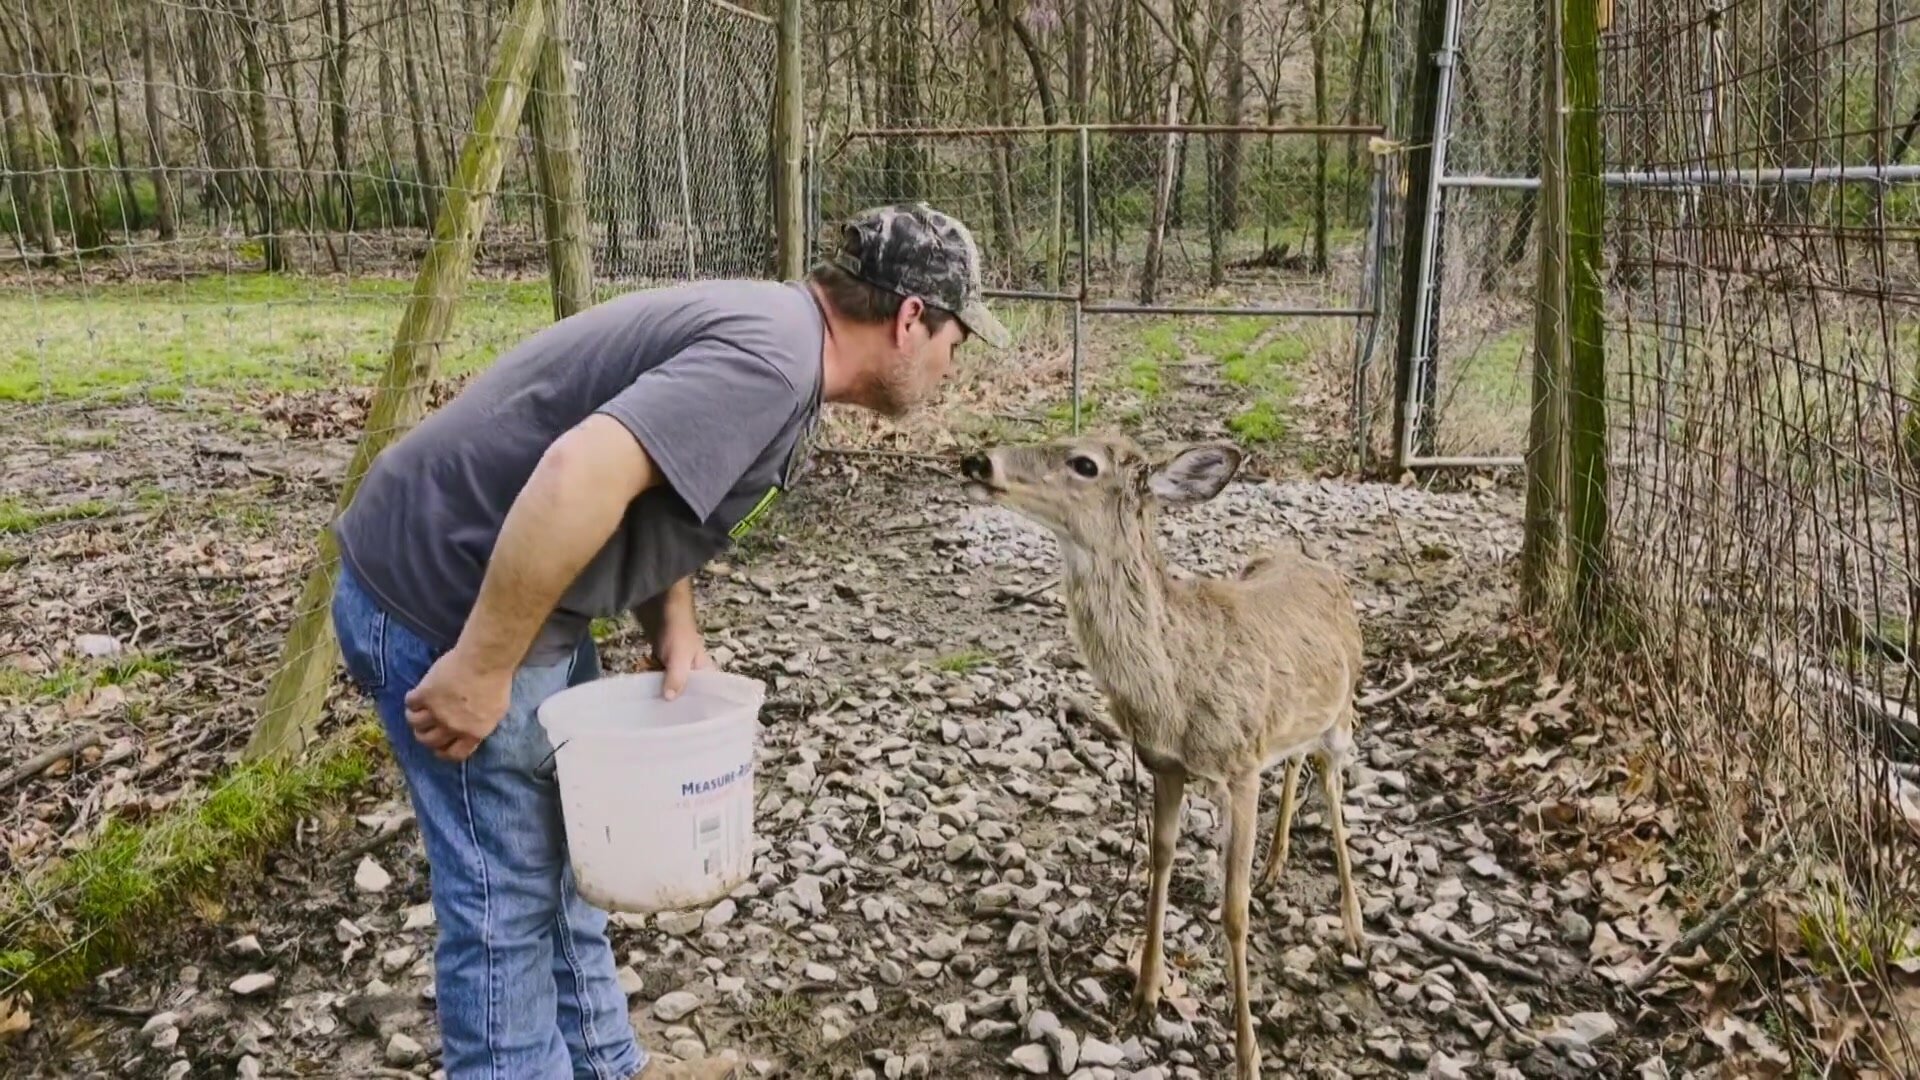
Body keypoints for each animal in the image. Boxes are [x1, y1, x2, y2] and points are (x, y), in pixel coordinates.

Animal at [959, 434, 1366, 1080]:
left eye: (1085, 463)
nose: (979, 461)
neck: (1177, 680)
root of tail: (1320, 566)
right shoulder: (1165, 765)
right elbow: (1161, 861)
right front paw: (1145, 994)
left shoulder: (1240, 767)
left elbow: (1233, 911)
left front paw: (1248, 1055)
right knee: (1296, 760)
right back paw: (1276, 866)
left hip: (1343, 709)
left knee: (1331, 782)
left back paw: (1353, 929)